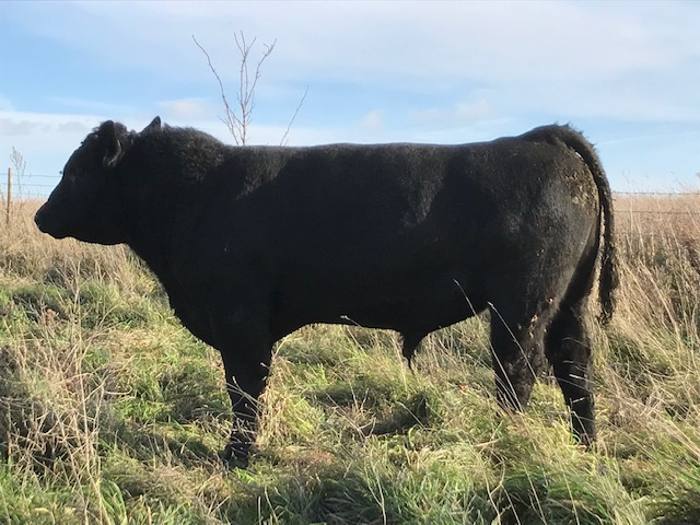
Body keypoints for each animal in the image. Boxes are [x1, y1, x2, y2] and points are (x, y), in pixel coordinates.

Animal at [35, 117, 617, 467]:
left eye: (75, 170)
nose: (41, 215)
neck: (196, 195)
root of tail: (540, 138)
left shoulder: (241, 322)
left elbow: (244, 390)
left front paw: (237, 455)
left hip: (522, 306)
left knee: (518, 372)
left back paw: (502, 446)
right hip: (569, 303)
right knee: (574, 367)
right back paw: (586, 447)